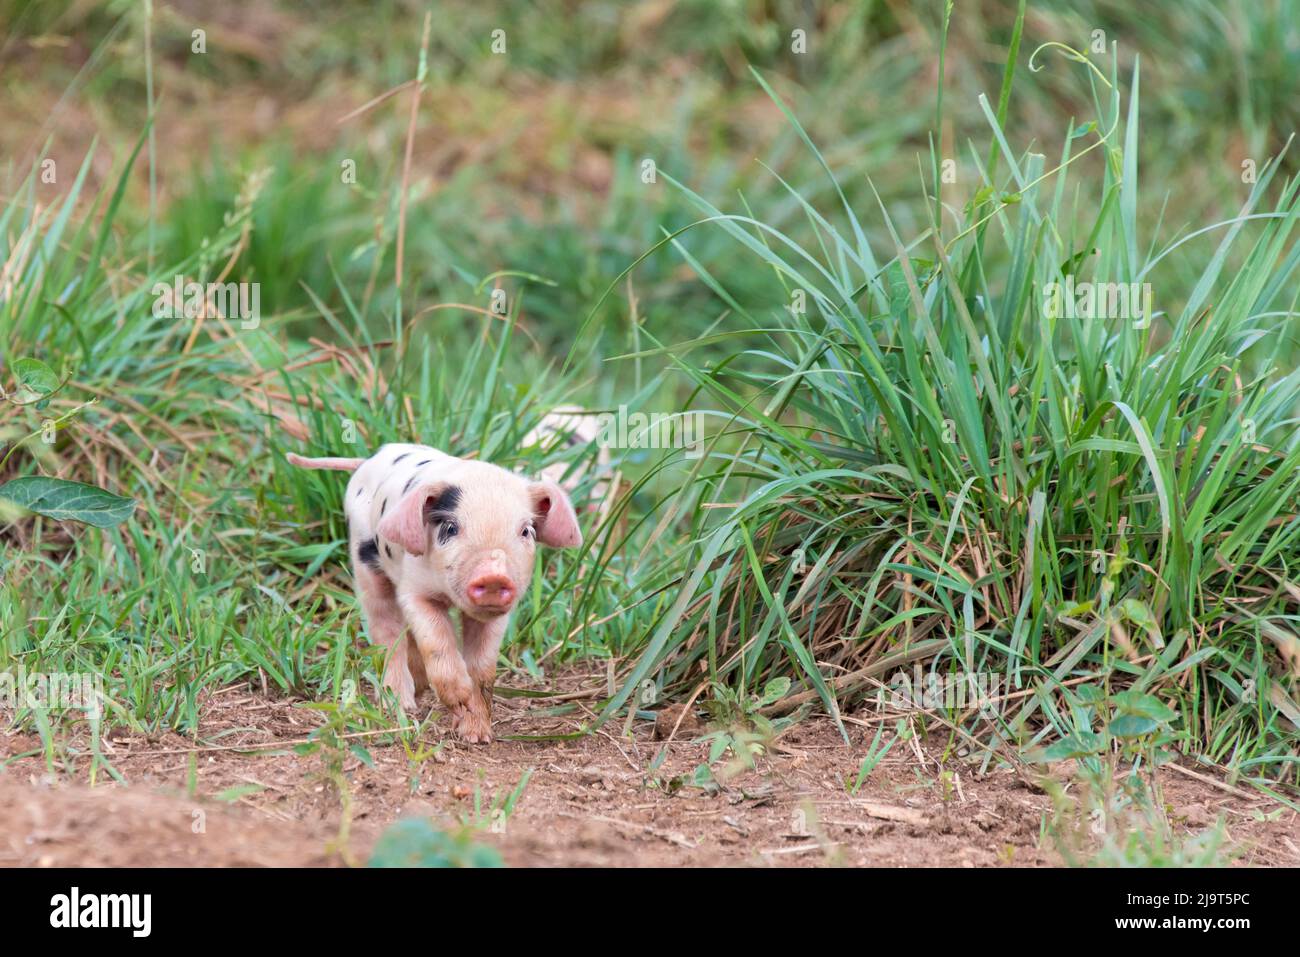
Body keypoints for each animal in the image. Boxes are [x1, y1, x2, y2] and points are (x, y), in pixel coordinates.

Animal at [287, 444, 582, 743]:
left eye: (526, 531)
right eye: (451, 528)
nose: (494, 575)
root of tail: (368, 460)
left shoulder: (498, 615)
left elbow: (483, 669)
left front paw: (477, 735)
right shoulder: (414, 591)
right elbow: (437, 642)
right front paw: (459, 699)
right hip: (365, 561)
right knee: (386, 630)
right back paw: (400, 706)